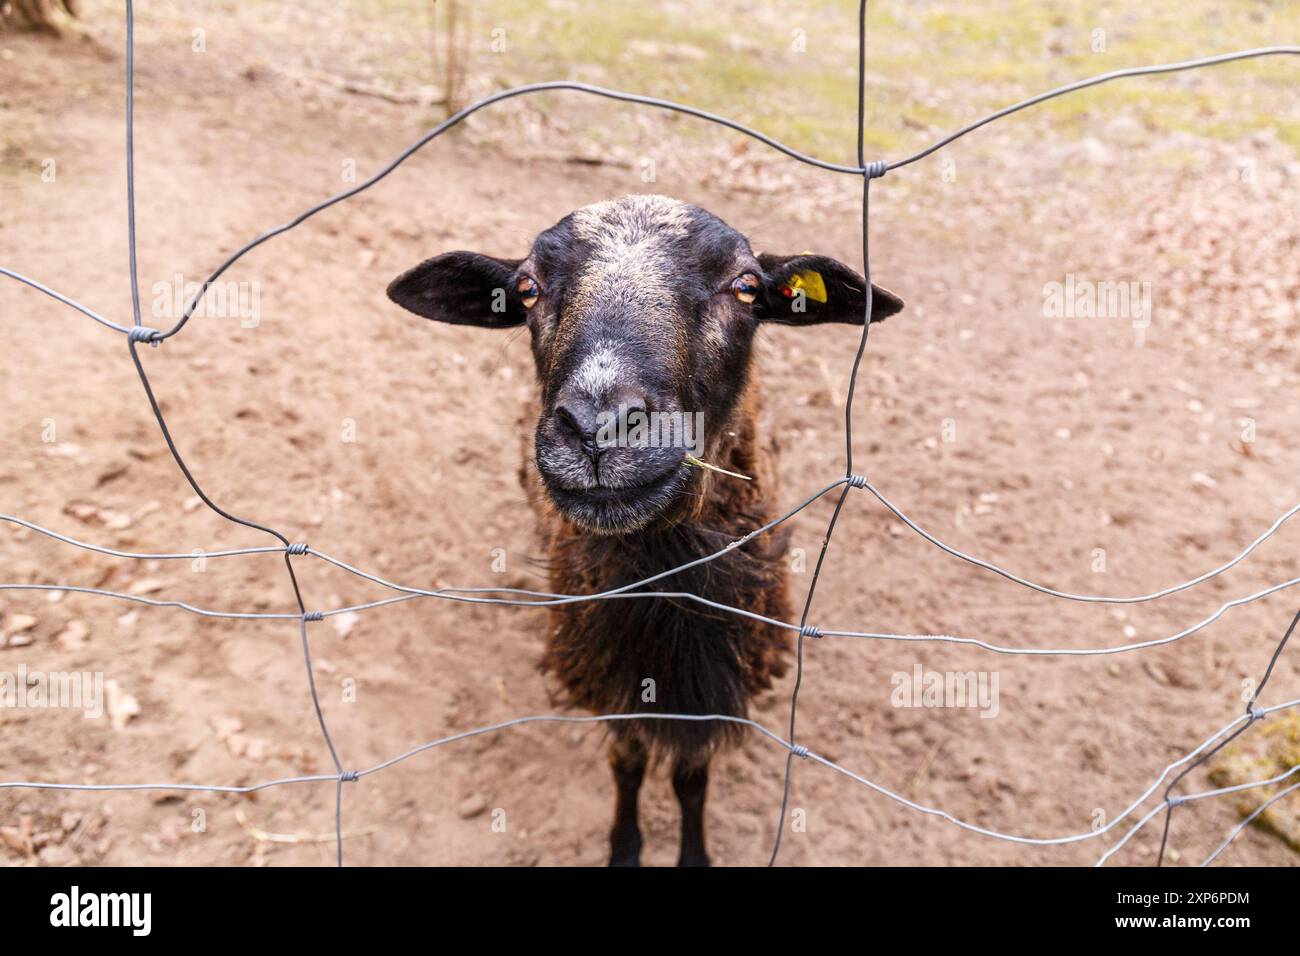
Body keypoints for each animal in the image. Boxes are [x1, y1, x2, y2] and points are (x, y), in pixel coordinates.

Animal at [388, 194, 903, 866]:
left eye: (746, 287)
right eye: (526, 290)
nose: (596, 427)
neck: (663, 578)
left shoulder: (704, 697)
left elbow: (690, 780)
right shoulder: (614, 680)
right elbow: (628, 765)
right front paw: (626, 847)